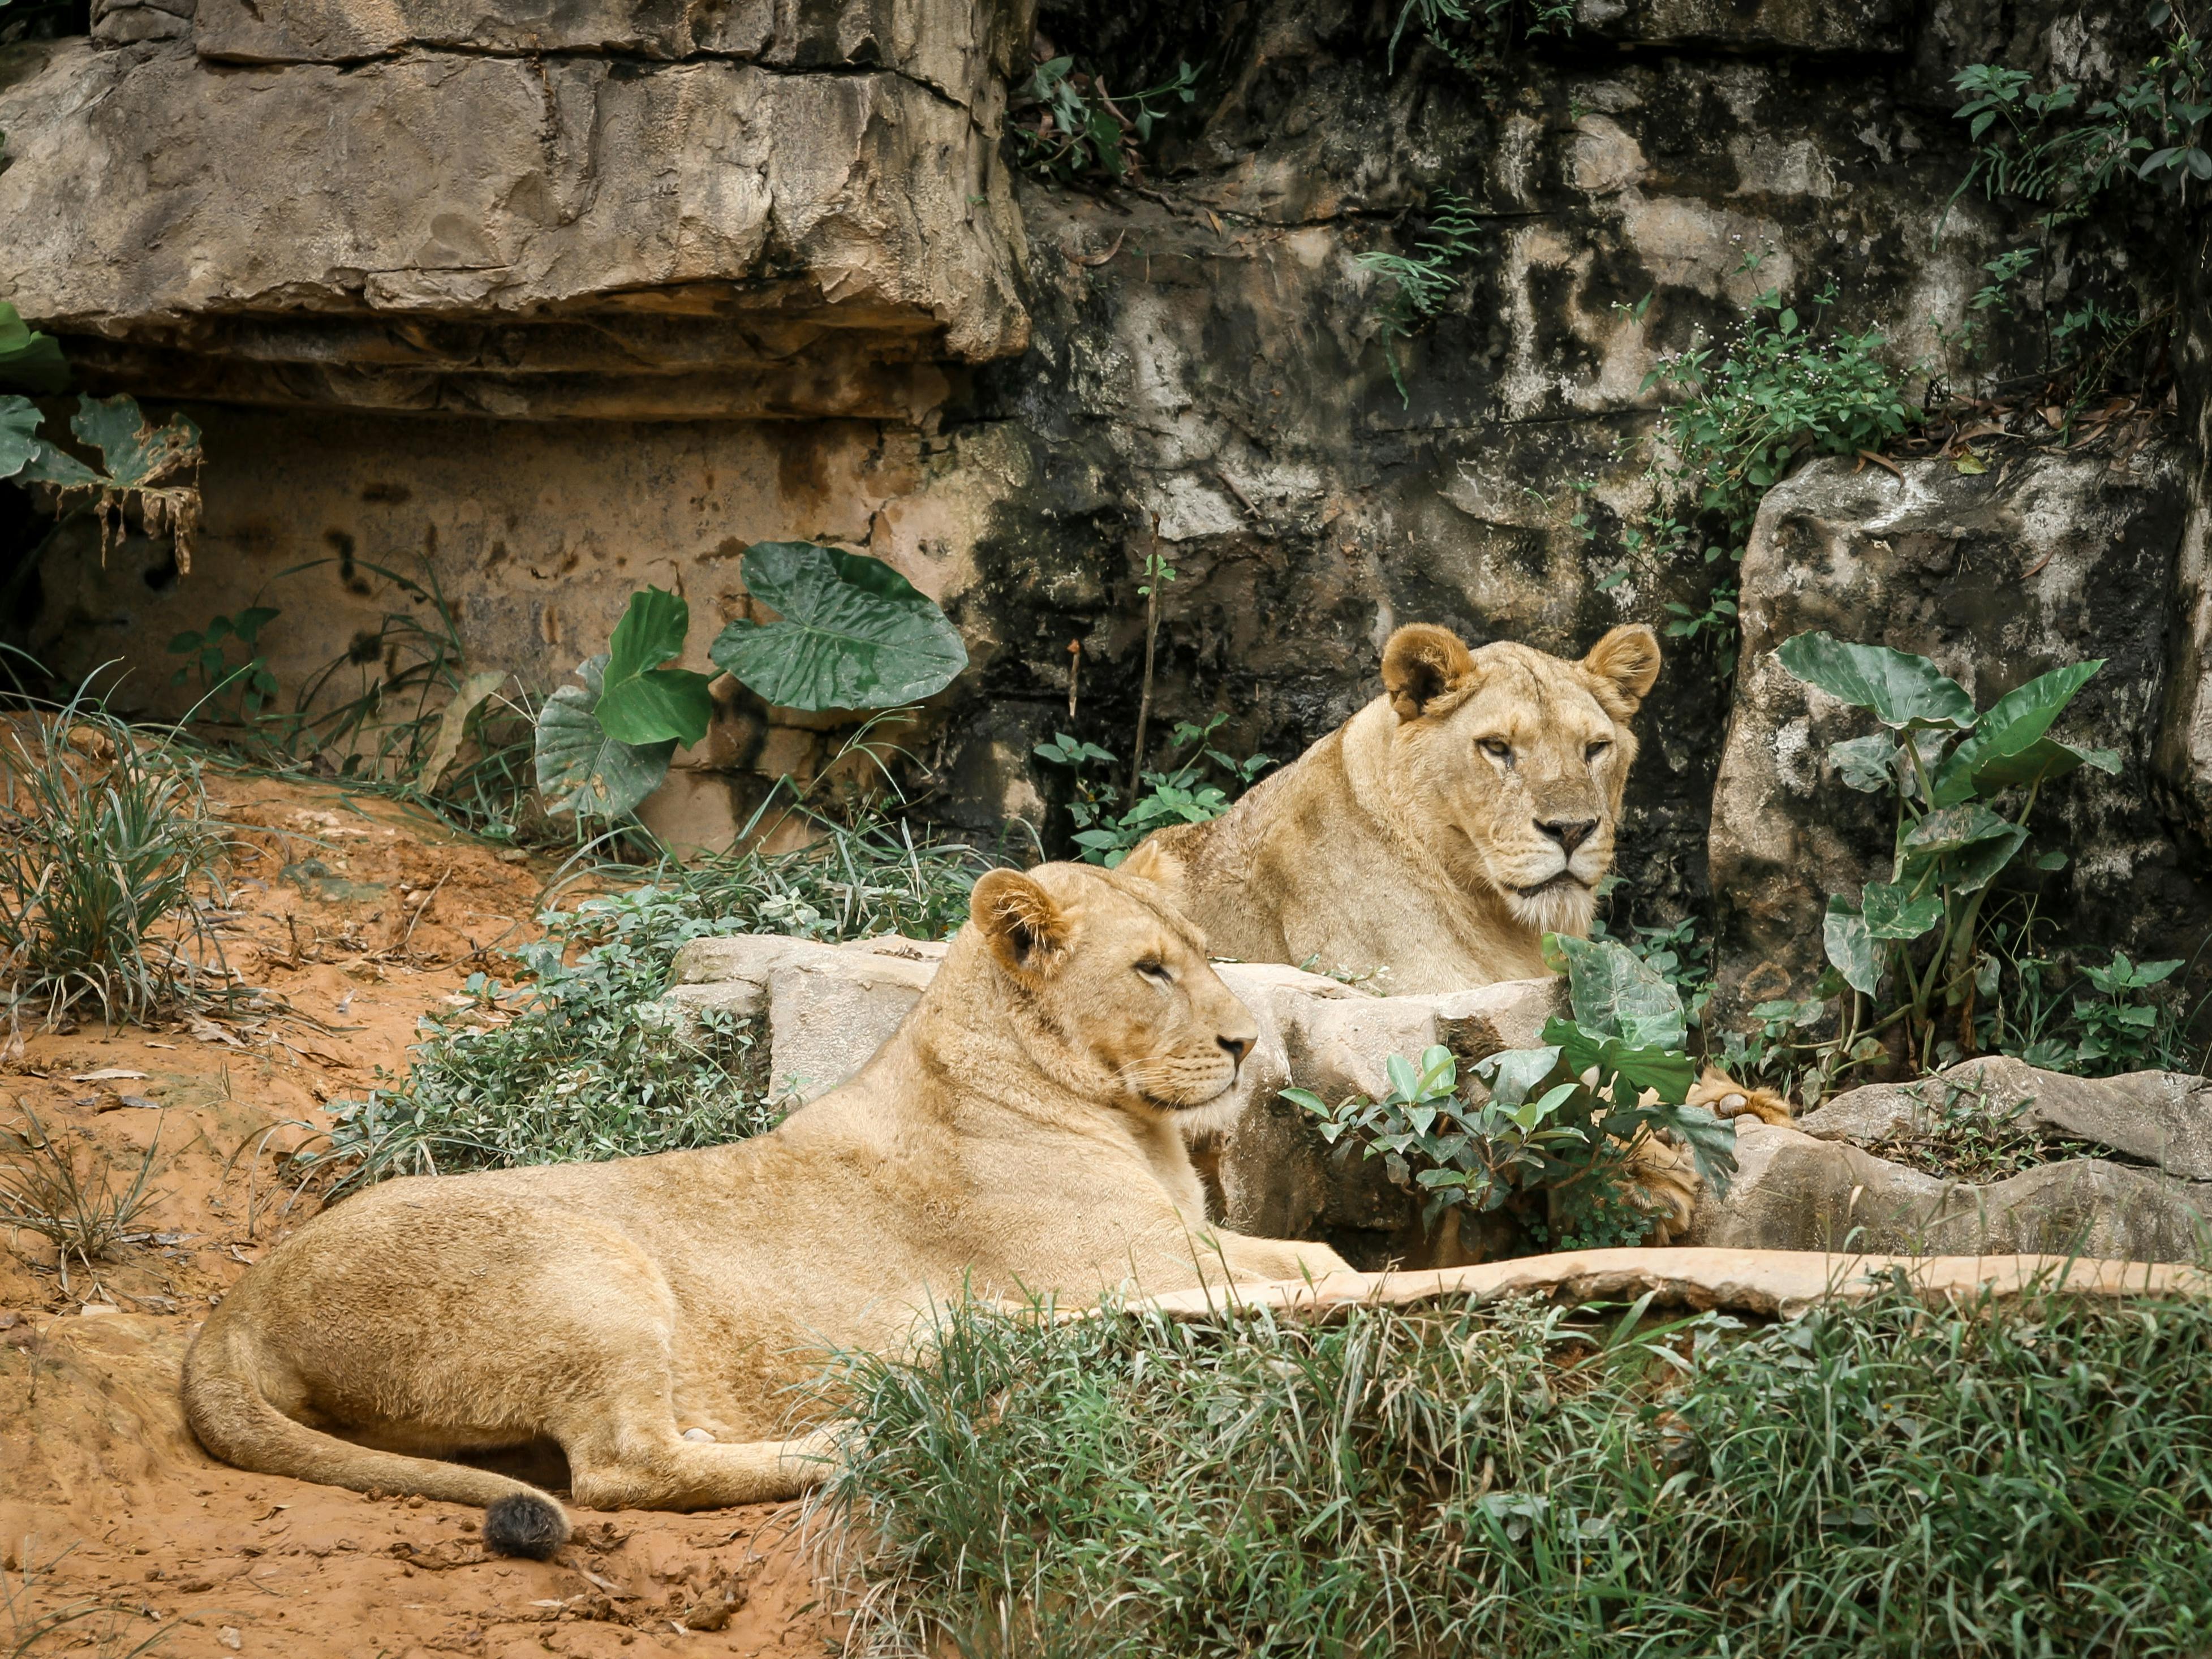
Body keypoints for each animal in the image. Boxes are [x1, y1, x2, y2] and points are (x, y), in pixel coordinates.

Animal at [182, 863, 1351, 1559]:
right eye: (1152, 969)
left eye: (1201, 952)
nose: (1248, 1040)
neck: (1132, 1120)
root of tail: (239, 1301)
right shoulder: (1132, 1262)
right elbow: (1319, 1266)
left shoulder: (1186, 1239)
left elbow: (1317, 1255)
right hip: (591, 1263)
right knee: (621, 1466)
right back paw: (855, 1437)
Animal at [1121, 622, 1789, 1236]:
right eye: (1497, 747)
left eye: (1595, 748)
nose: (1572, 829)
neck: (1499, 914)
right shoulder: (1416, 1006)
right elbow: (1570, 1087)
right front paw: (1649, 1170)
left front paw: (1734, 1100)